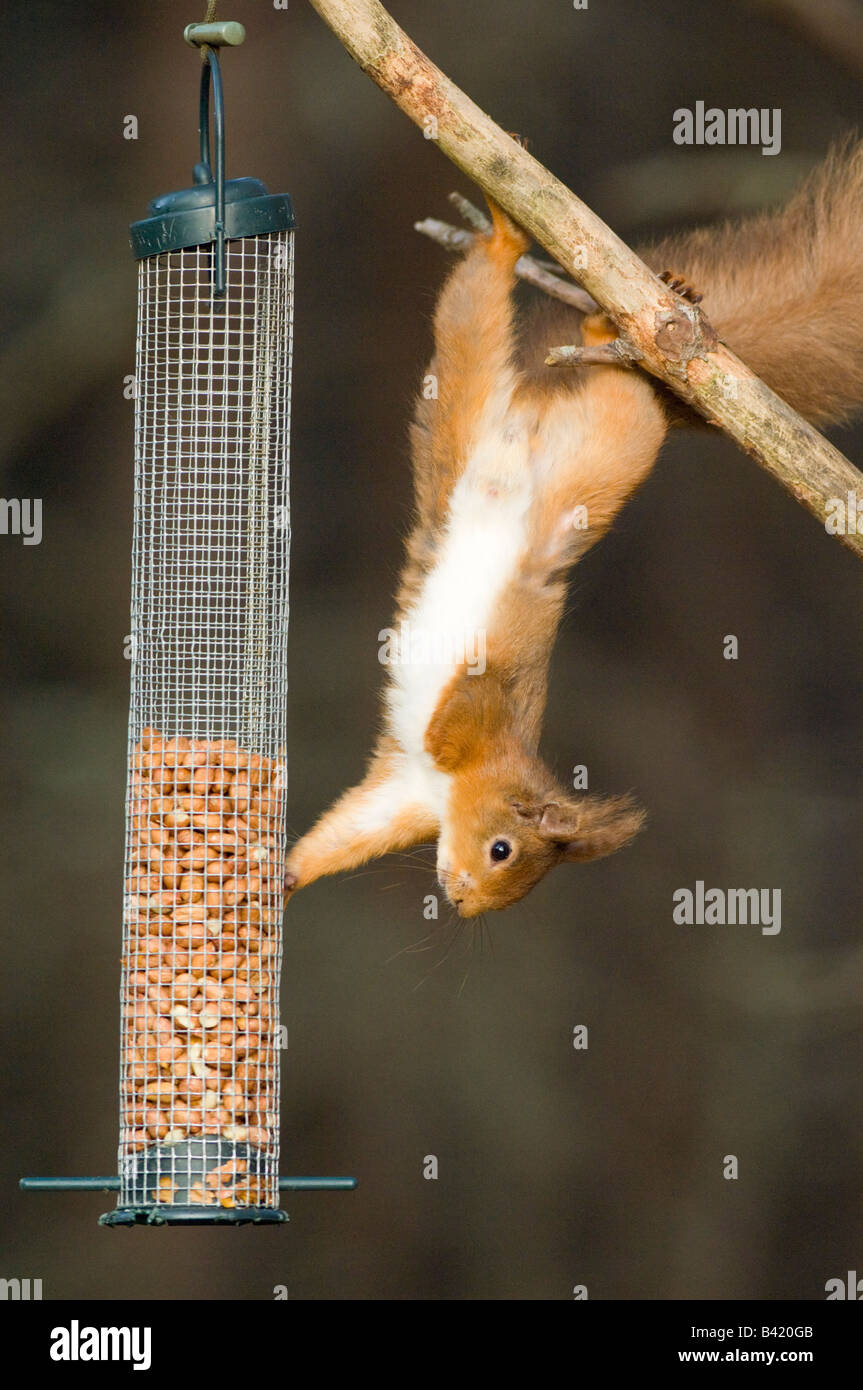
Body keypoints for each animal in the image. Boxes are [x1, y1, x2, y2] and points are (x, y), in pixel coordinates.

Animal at [285, 141, 863, 916]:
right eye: (501, 849)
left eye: (512, 878)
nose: (460, 902)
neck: (455, 789)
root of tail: (527, 417)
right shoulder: (474, 734)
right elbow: (465, 709)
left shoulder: (403, 797)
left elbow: (348, 830)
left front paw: (283, 874)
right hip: (602, 444)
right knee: (586, 368)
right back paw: (543, 266)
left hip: (482, 421)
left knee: (485, 311)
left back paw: (575, 307)